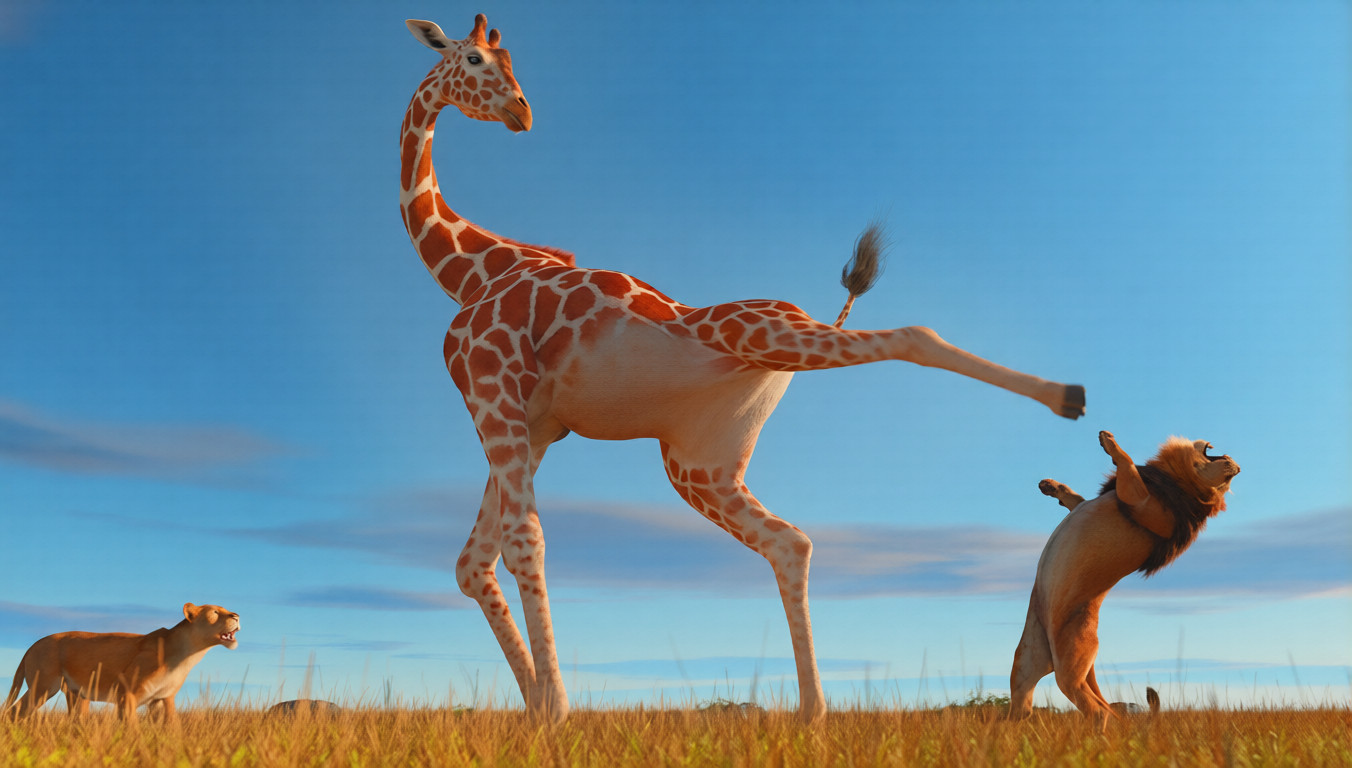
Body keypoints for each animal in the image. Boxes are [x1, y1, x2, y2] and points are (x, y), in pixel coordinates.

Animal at [399, 15, 1086, 724]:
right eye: (477, 59)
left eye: (498, 59)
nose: (522, 112)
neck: (470, 270)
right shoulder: (534, 424)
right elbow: (473, 563)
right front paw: (537, 710)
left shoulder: (492, 387)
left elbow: (519, 540)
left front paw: (555, 711)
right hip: (701, 461)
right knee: (791, 540)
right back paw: (811, 713)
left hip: (763, 346)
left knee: (913, 336)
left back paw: (1067, 395)